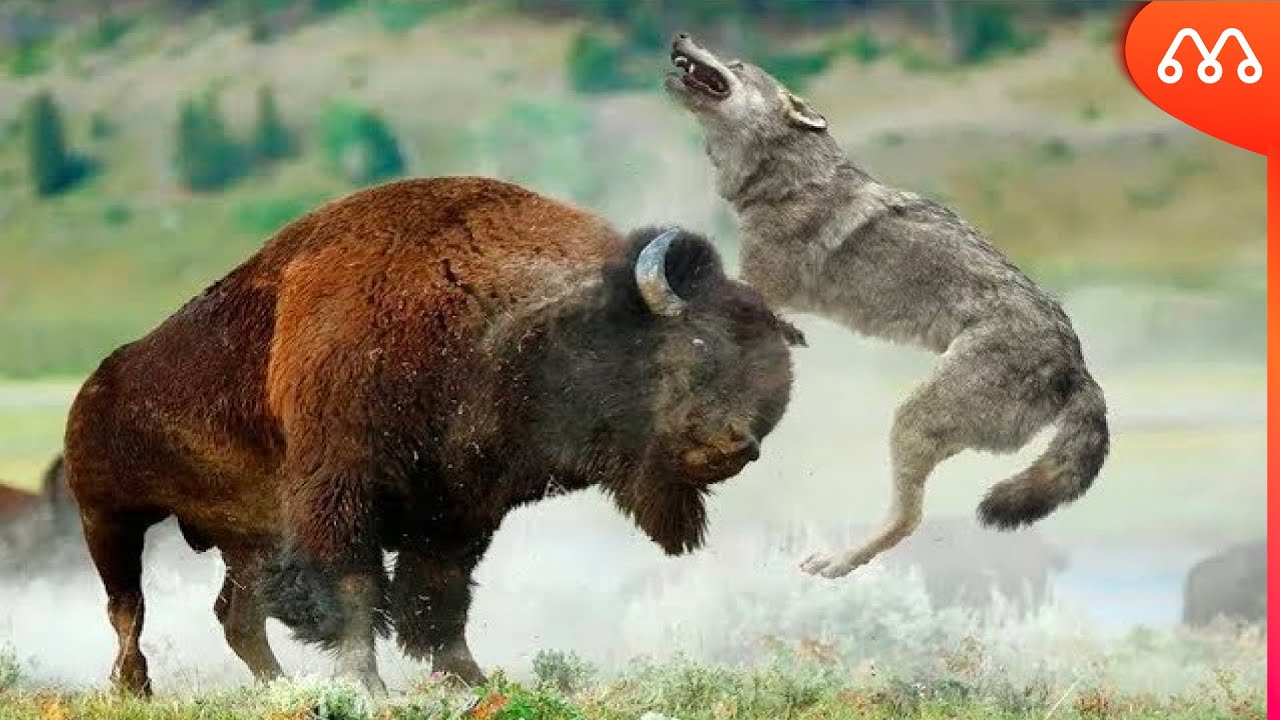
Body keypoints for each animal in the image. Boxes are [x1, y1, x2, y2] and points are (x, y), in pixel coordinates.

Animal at [664, 33, 1109, 579]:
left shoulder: (759, 284)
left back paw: (836, 562)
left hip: (909, 417)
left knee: (907, 519)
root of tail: (1079, 366)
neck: (789, 183)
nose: (681, 36)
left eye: (738, 65)